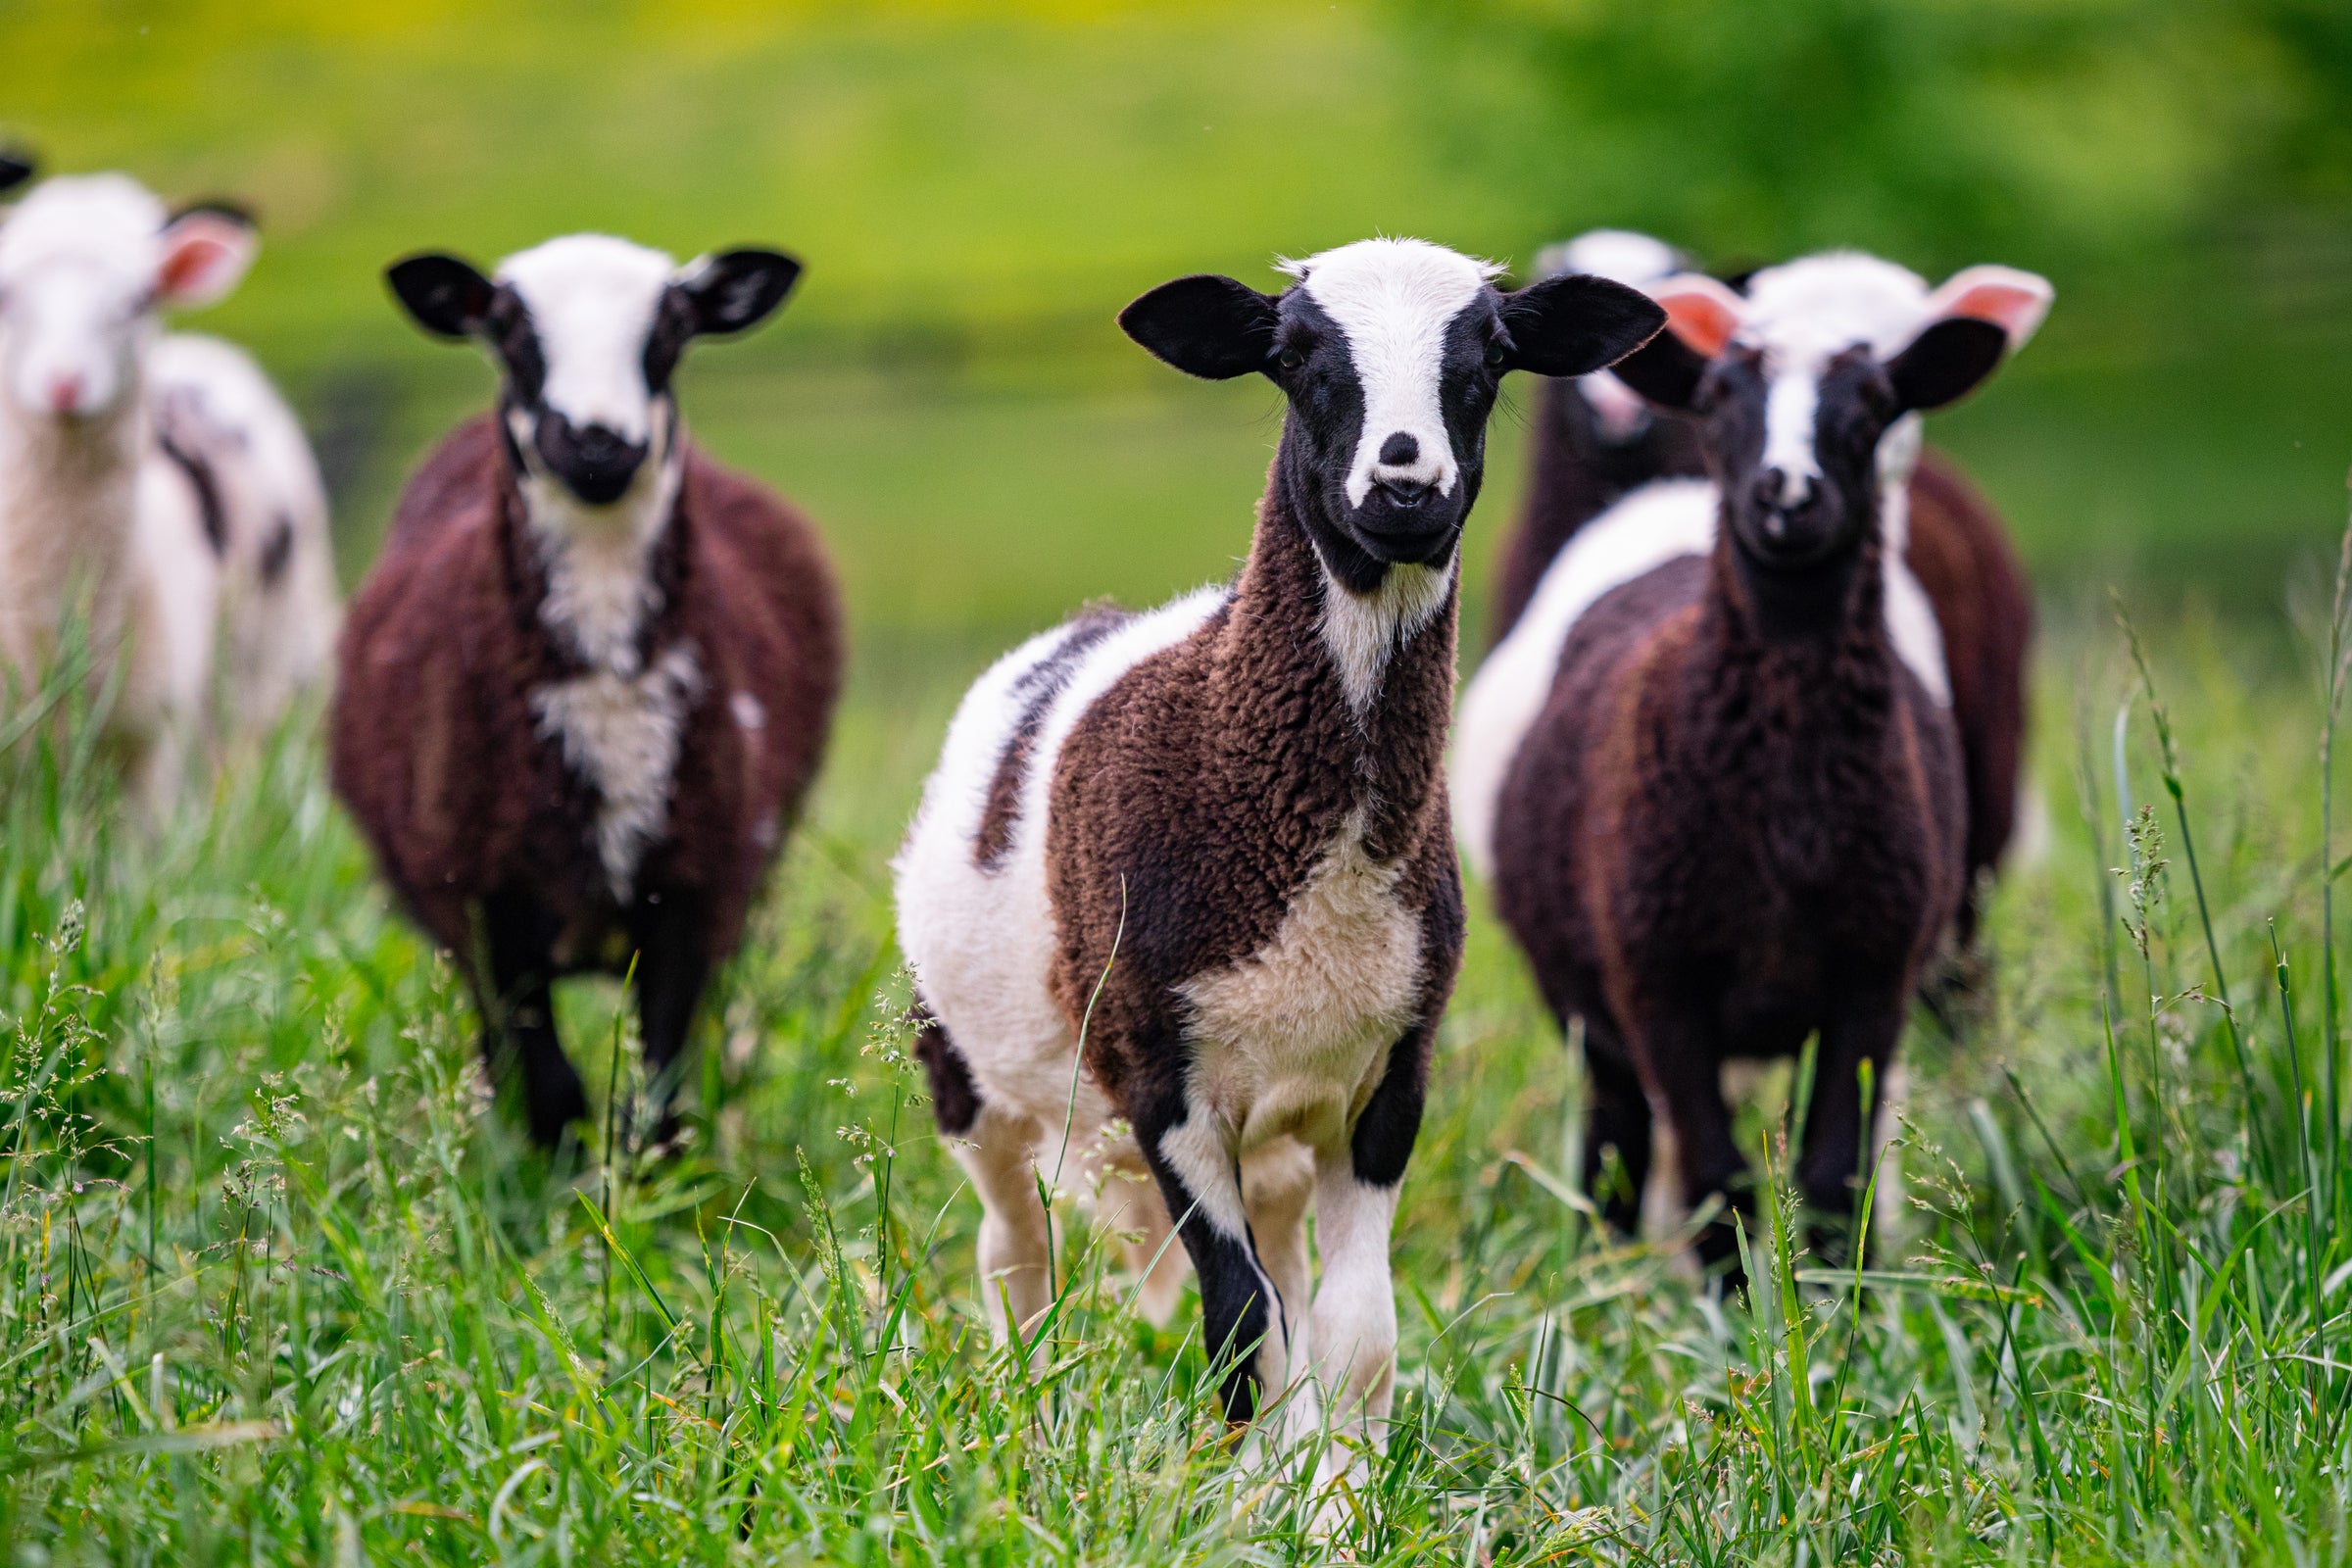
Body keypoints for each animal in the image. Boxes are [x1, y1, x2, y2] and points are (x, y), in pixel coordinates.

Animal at [331, 234, 842, 1150]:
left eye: (670, 329)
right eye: (509, 329)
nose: (598, 442)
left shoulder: (694, 889)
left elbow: (662, 1084)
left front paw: (648, 1178)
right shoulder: (482, 905)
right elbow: (549, 1090)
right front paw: (556, 1179)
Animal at [893, 238, 1663, 1472]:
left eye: (1491, 357)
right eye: (1298, 359)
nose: (1405, 486)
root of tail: (1091, 617)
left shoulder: (1389, 1078)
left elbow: (1353, 1338)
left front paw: (1333, 1495)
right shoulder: (1161, 1081)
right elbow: (1244, 1327)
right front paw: (1256, 1493)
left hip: (1282, 1140)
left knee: (1286, 1280)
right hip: (969, 1072)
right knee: (1014, 1257)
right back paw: (1028, 1428)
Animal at [1452, 251, 2050, 1277]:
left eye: (1878, 398)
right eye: (1722, 394)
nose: (1788, 494)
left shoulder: (1872, 971)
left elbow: (1833, 1178)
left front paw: (1842, 1303)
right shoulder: (1658, 979)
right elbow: (1717, 1178)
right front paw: (1731, 1313)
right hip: (1584, 990)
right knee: (1619, 1128)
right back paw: (1604, 1266)